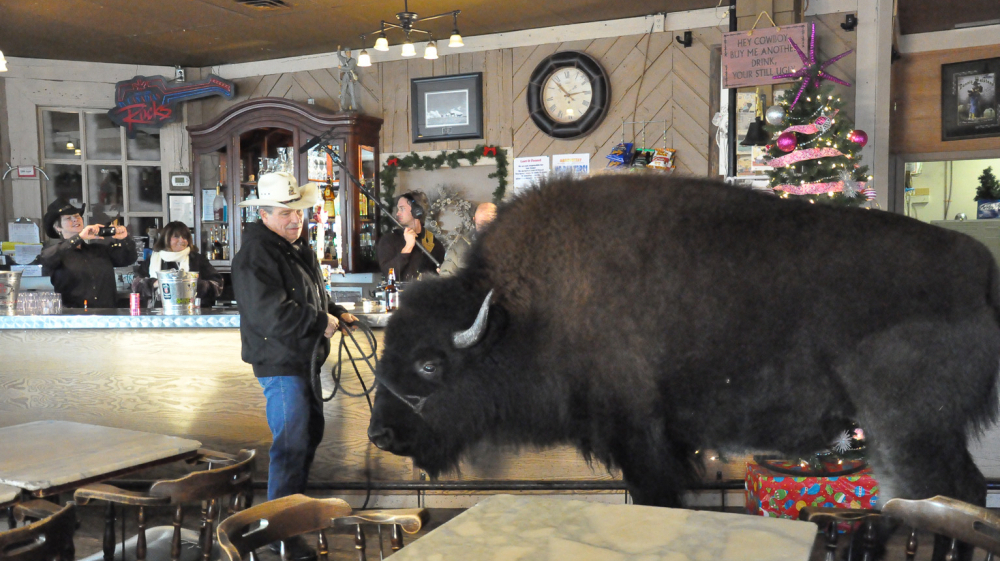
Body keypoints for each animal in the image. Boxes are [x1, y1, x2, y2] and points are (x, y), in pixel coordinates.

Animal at [367, 174, 1000, 508]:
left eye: (430, 364)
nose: (380, 435)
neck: (521, 311)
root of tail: (979, 269)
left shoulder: (642, 442)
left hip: (907, 434)